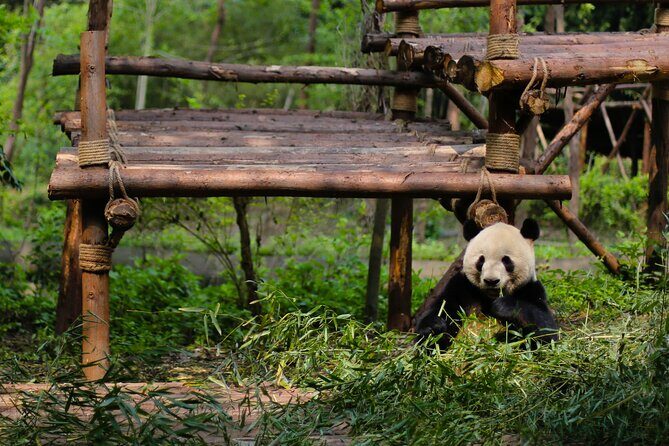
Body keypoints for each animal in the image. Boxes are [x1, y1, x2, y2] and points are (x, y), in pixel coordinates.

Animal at [415, 218, 559, 349]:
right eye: (481, 260)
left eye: (506, 261)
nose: (491, 281)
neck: (490, 297)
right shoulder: (462, 286)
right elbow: (443, 309)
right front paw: (434, 326)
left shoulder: (530, 288)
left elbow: (546, 332)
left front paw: (503, 307)